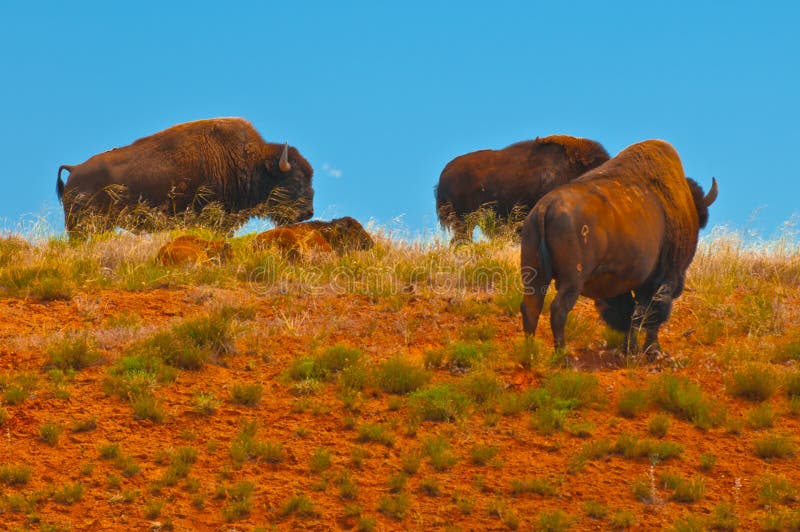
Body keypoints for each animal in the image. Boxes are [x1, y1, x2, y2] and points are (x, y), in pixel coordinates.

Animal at [519, 139, 718, 359]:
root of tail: (545, 206)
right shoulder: (664, 278)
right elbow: (652, 315)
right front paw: (653, 351)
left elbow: (629, 315)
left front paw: (630, 349)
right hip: (572, 280)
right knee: (558, 309)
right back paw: (563, 357)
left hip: (535, 275)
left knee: (531, 308)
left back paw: (530, 354)